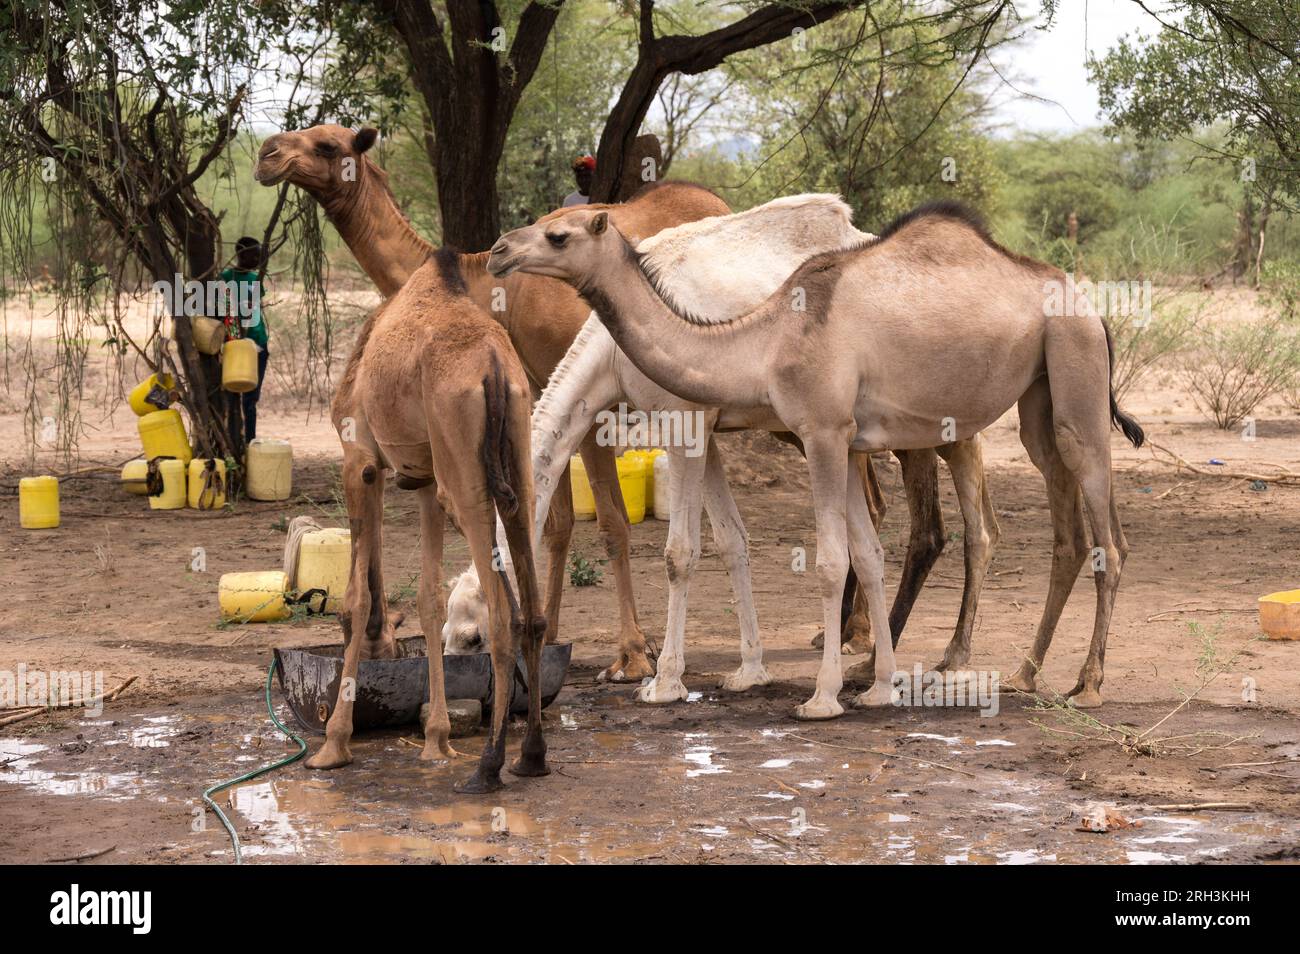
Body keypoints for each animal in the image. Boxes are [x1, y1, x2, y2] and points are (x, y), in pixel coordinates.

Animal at [254, 124, 728, 682]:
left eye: (328, 145)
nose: (267, 155)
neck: (481, 284)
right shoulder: (533, 407)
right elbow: (554, 523)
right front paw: (548, 634)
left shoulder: (585, 407)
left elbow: (611, 522)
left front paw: (631, 656)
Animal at [488, 201, 1145, 717]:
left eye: (557, 235)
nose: (497, 250)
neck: (765, 337)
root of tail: (1090, 304)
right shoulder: (839, 438)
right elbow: (856, 552)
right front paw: (872, 687)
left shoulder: (808, 430)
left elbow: (818, 559)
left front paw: (812, 696)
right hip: (1036, 402)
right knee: (1059, 532)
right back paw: (1020, 672)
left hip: (1072, 376)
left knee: (1103, 539)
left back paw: (1085, 684)